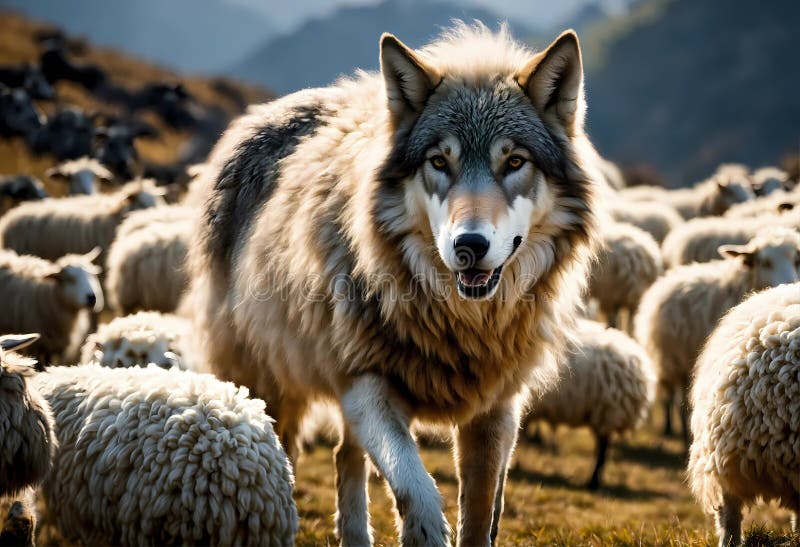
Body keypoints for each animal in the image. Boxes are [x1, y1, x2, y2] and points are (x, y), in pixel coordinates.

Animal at [187, 23, 598, 546]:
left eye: (514, 162)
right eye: (440, 161)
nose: (469, 245)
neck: (460, 326)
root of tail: (260, 114)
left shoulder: (495, 410)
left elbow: (480, 514)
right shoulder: (367, 384)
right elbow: (415, 490)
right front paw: (424, 531)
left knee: (345, 455)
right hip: (267, 380)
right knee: (289, 456)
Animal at [635, 228, 800, 445]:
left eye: (797, 260)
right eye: (765, 262)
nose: (789, 283)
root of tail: (667, 278)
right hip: (671, 358)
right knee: (672, 397)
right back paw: (673, 430)